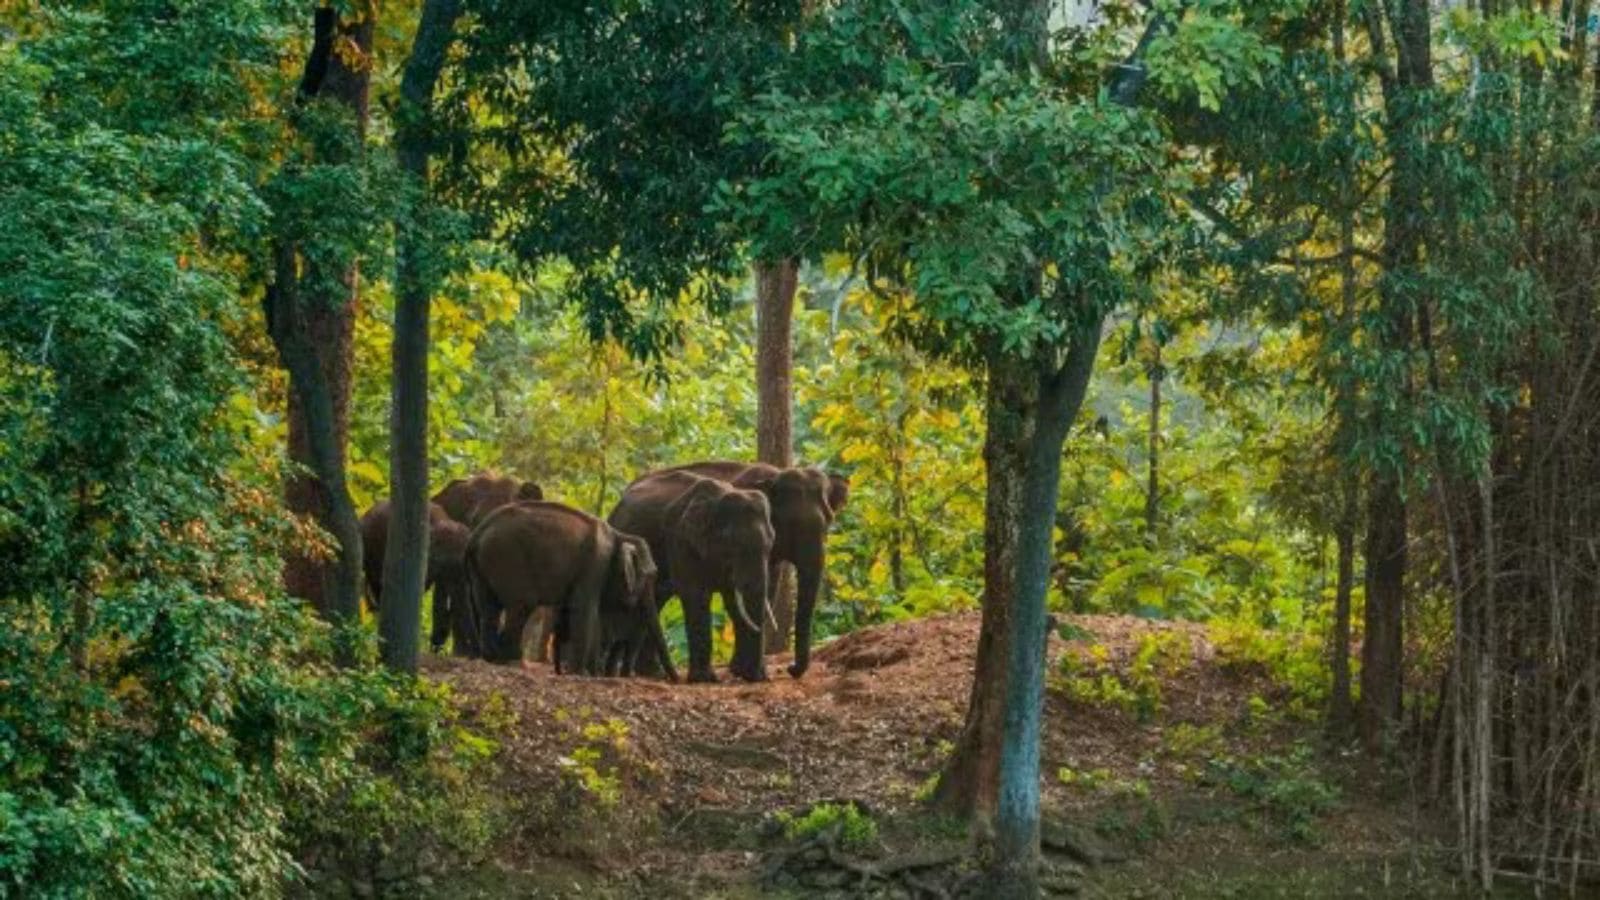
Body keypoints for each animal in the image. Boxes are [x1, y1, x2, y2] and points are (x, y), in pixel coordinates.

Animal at [465, 501, 676, 680]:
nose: (674, 680)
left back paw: (492, 657)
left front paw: (591, 673)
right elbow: (585, 609)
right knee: (521, 606)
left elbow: (593, 614)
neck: (620, 535)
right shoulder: (595, 564)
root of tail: (476, 535)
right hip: (507, 557)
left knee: (488, 609)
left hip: (481, 568)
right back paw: (512, 660)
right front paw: (580, 673)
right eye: (650, 577)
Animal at [607, 471, 774, 683]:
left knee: (656, 601)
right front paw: (705, 679)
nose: (761, 677)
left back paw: (654, 674)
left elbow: (733, 603)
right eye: (733, 545)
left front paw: (749, 675)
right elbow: (696, 596)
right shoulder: (681, 540)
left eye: (771, 545)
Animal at [664, 461, 848, 679]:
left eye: (829, 520)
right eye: (790, 524)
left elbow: (767, 591)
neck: (775, 474)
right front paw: (743, 670)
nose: (790, 668)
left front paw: (740, 669)